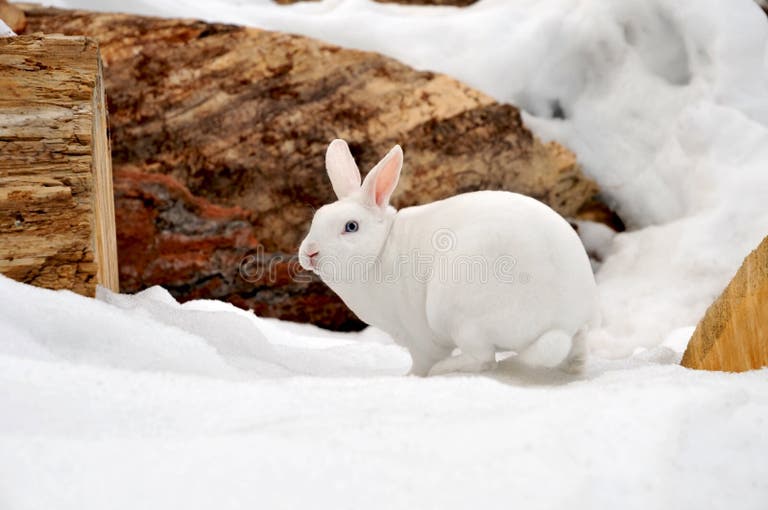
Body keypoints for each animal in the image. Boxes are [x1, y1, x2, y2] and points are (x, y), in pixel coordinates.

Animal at [299, 139, 600, 376]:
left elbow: (421, 363)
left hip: (459, 314)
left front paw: (410, 377)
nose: (309, 252)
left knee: (484, 360)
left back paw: (443, 370)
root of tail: (560, 322)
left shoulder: (419, 337)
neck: (381, 249)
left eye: (351, 226)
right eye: (317, 217)